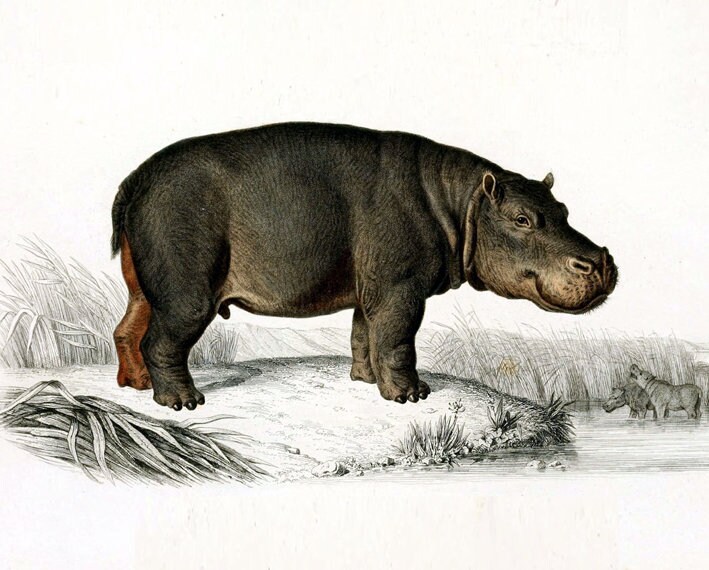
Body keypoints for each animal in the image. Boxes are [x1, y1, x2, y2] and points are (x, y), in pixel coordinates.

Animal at [111, 122, 617, 411]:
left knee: (127, 330)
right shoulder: (400, 290)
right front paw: (411, 396)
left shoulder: (371, 289)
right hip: (187, 293)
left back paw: (136, 386)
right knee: (161, 341)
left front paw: (365, 380)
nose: (599, 260)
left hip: (146, 288)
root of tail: (136, 178)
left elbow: (364, 335)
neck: (463, 202)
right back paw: (182, 402)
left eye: (564, 210)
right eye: (522, 218)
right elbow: (396, 340)